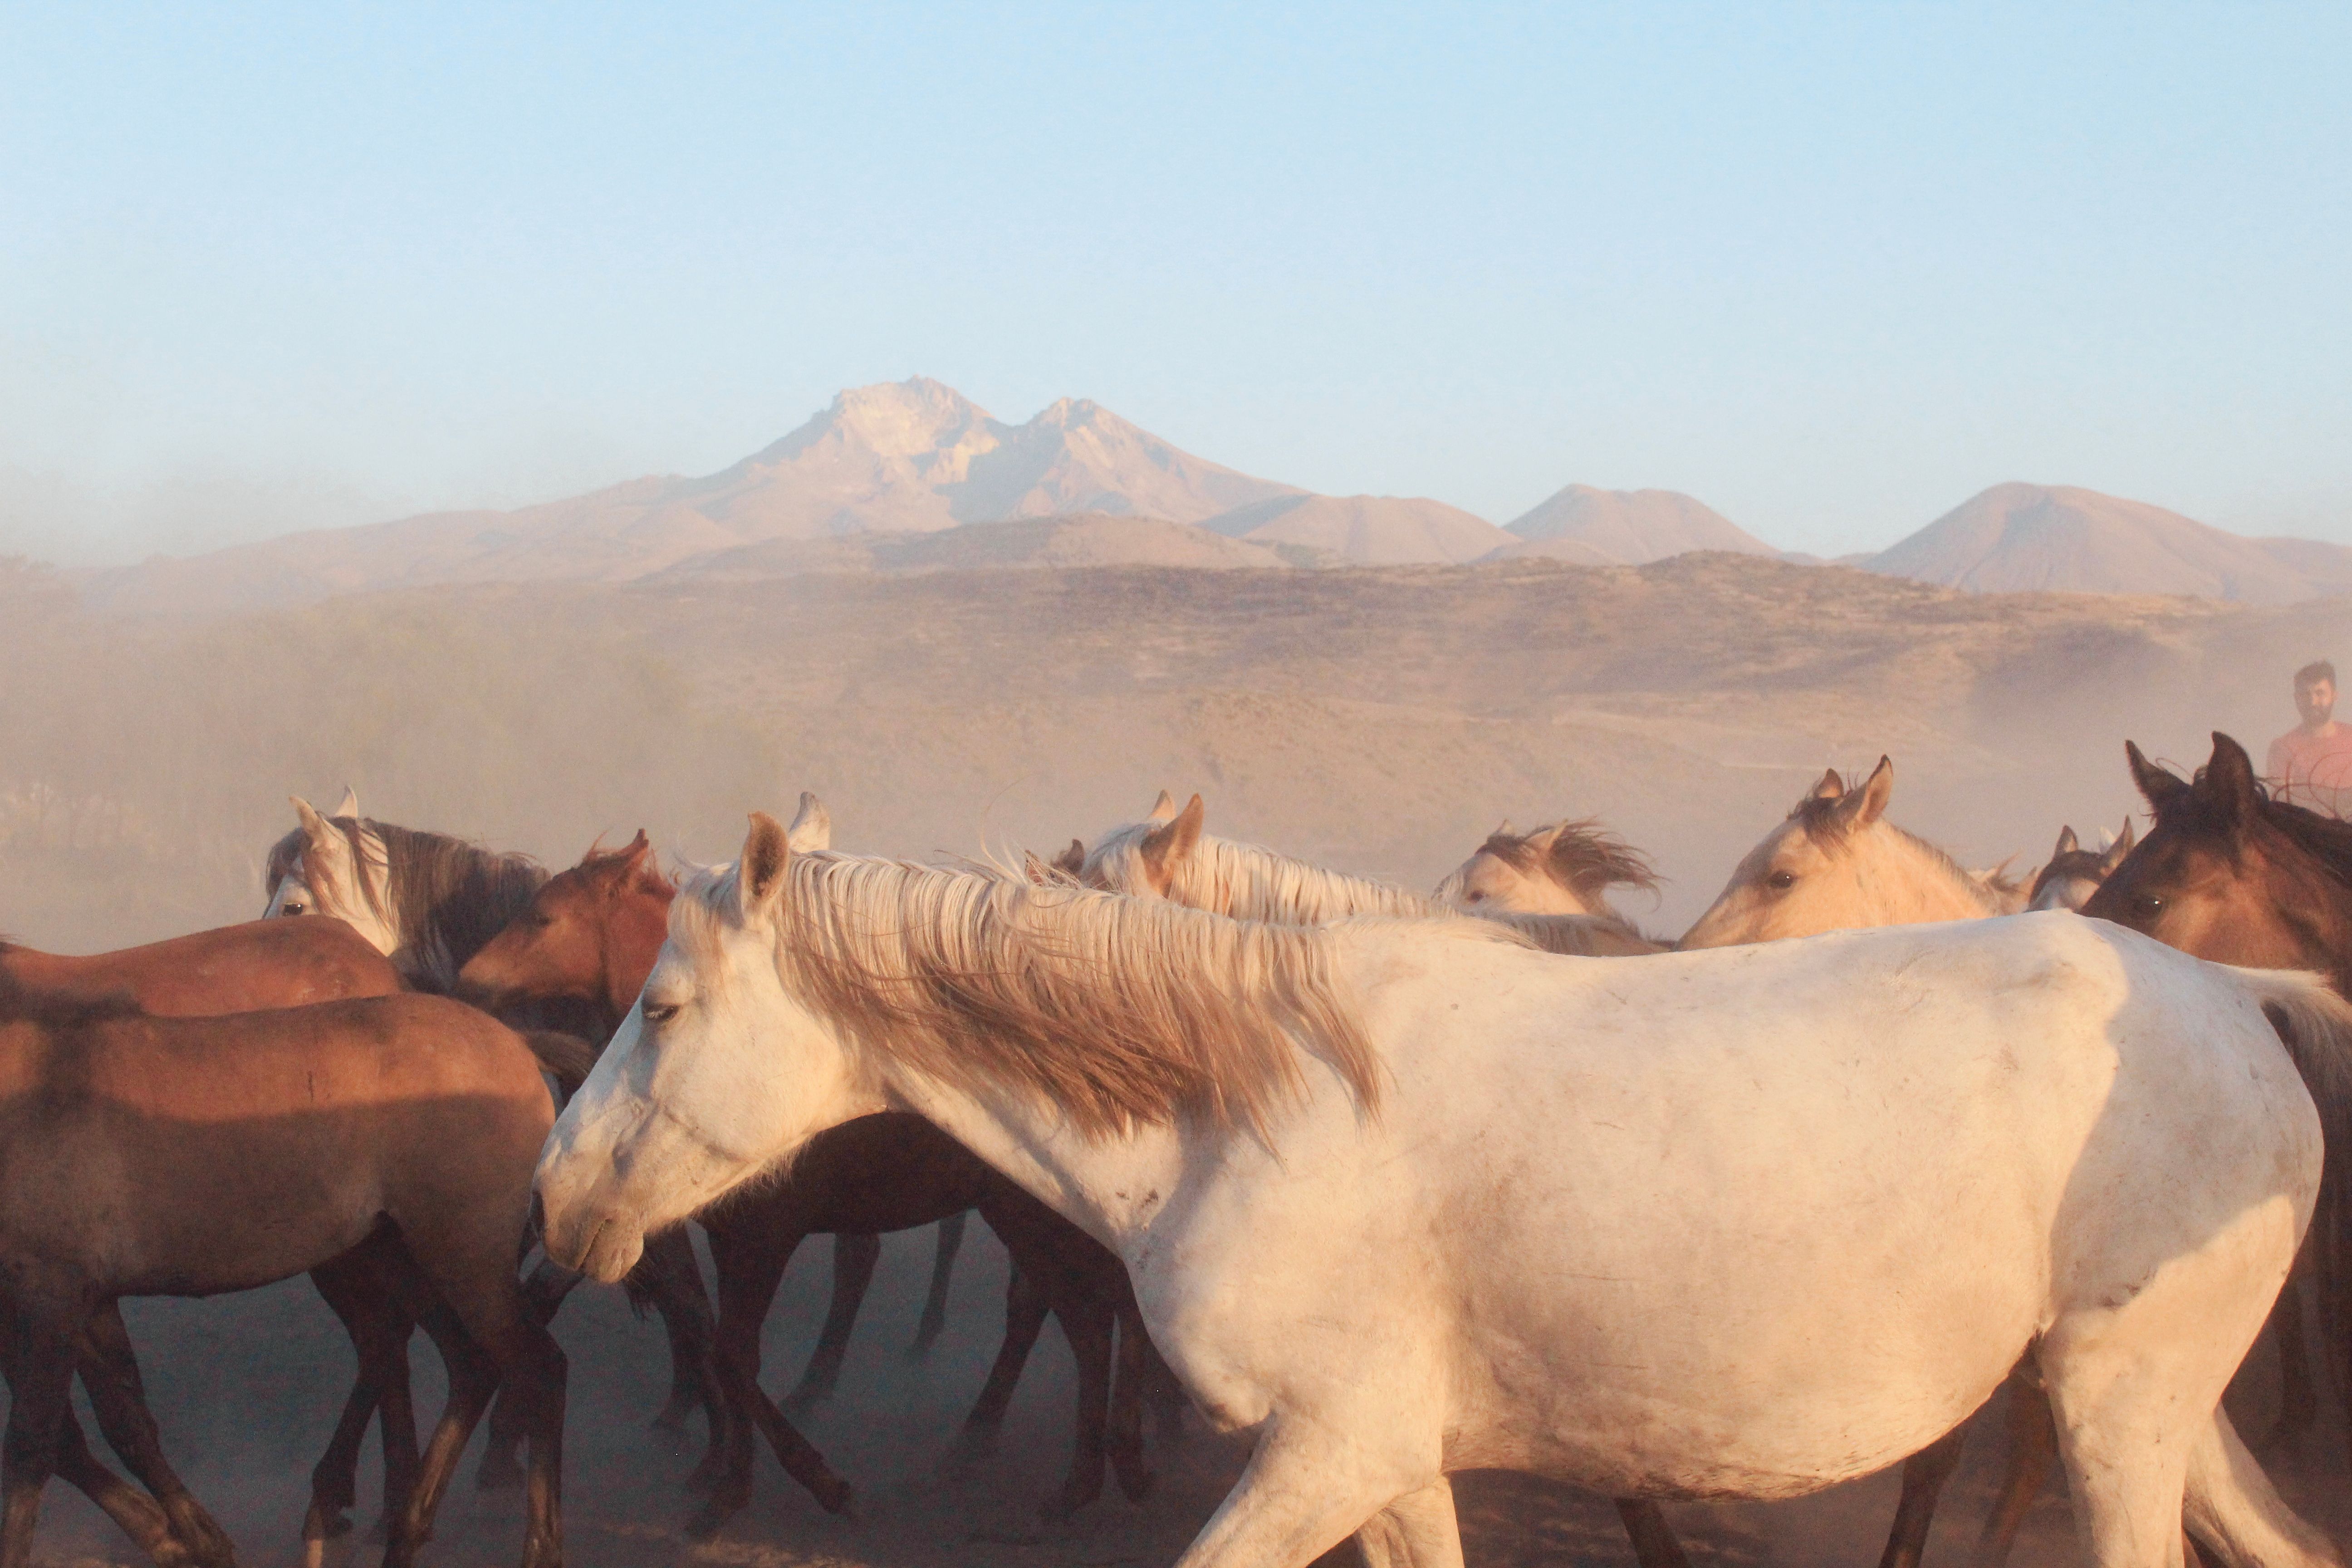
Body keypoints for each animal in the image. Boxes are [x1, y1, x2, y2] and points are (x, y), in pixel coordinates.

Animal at [0, 988, 567, 1568]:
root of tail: (519, 1045)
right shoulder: (87, 1300)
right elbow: (127, 1426)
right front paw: (195, 1543)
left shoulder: (52, 1292)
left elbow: (33, 1442)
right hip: (403, 1258)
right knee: (469, 1365)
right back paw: (404, 1533)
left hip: (463, 1259)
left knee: (539, 1367)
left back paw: (535, 1547)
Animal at [455, 801, 1170, 1531]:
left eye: (542, 917)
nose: (468, 979)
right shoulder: (707, 1233)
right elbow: (714, 1340)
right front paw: (725, 1473)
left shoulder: (764, 1237)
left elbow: (732, 1354)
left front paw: (788, 1482)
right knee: (1083, 1313)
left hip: (1035, 1215)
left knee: (1086, 1315)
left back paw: (1085, 1467)